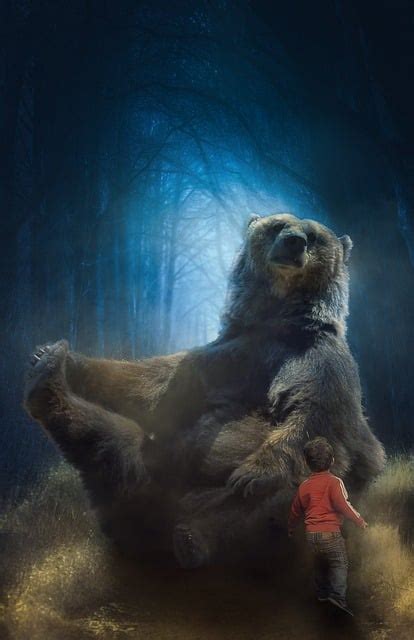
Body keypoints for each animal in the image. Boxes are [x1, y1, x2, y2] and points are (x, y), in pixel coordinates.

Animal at [24, 212, 386, 568]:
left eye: (313, 235)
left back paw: (194, 539)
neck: (278, 323)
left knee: (266, 505)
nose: (293, 241)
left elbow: (316, 416)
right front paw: (55, 354)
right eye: (278, 225)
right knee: (114, 444)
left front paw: (253, 472)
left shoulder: (317, 361)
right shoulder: (230, 356)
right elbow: (157, 386)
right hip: (151, 468)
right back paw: (46, 383)